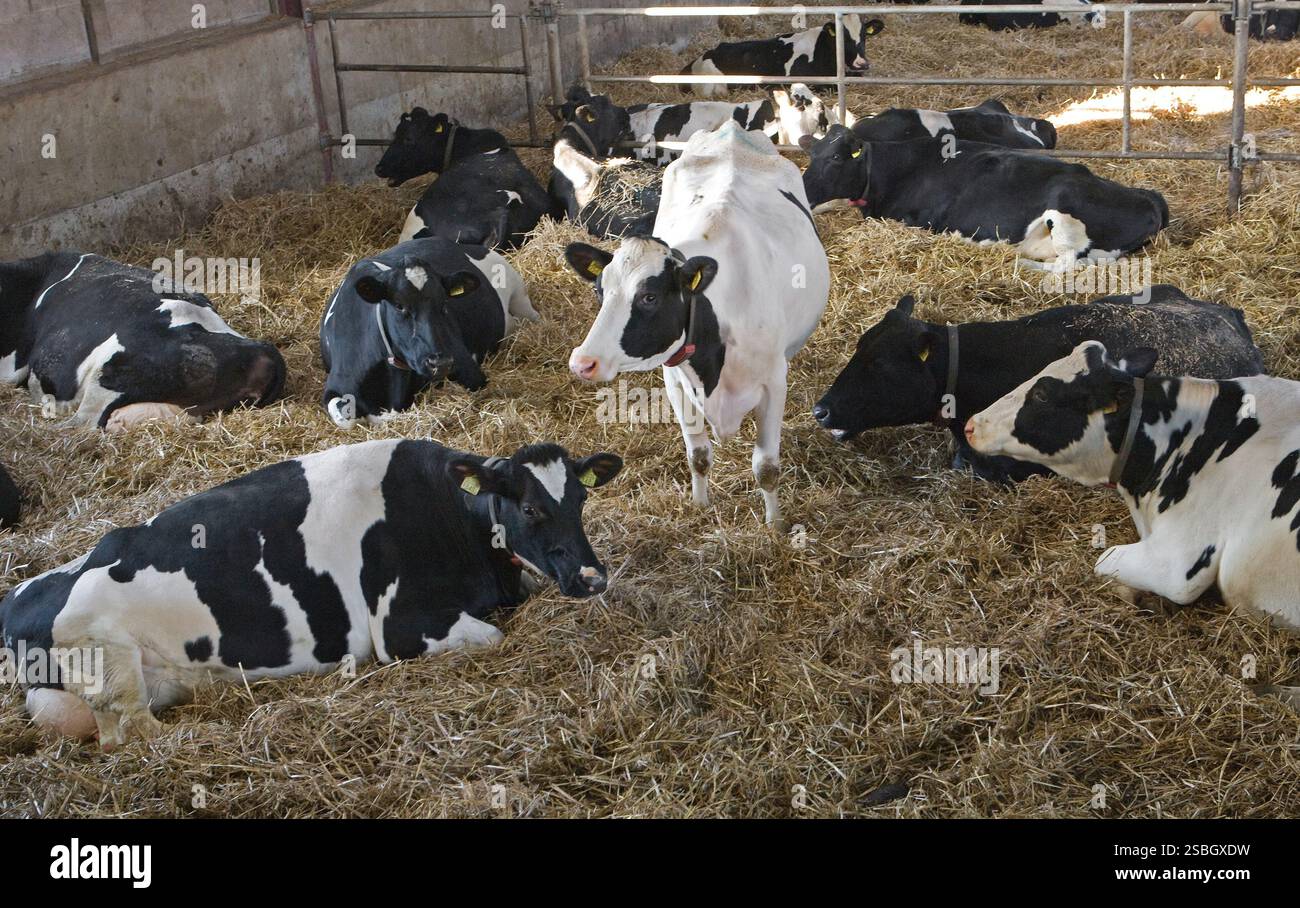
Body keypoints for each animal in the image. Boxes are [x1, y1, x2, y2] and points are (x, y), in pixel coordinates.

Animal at [0, 438, 624, 746]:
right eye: (530, 507)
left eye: (581, 499)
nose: (593, 578)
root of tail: (16, 599)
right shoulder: (400, 625)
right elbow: (493, 635)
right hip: (108, 661)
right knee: (127, 737)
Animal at [320, 237, 536, 428]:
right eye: (399, 306)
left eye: (444, 303)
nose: (440, 362)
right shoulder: (335, 388)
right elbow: (347, 419)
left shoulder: (470, 370)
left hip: (519, 295)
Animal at [565, 122, 830, 527]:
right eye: (600, 290)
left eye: (649, 297)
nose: (583, 362)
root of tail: (732, 128)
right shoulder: (675, 382)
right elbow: (699, 456)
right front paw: (700, 505)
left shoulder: (772, 384)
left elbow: (766, 467)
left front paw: (774, 524)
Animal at [801, 127, 1169, 267]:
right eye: (812, 154)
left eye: (836, 157)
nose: (802, 191)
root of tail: (1152, 200)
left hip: (1066, 206)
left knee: (1064, 266)